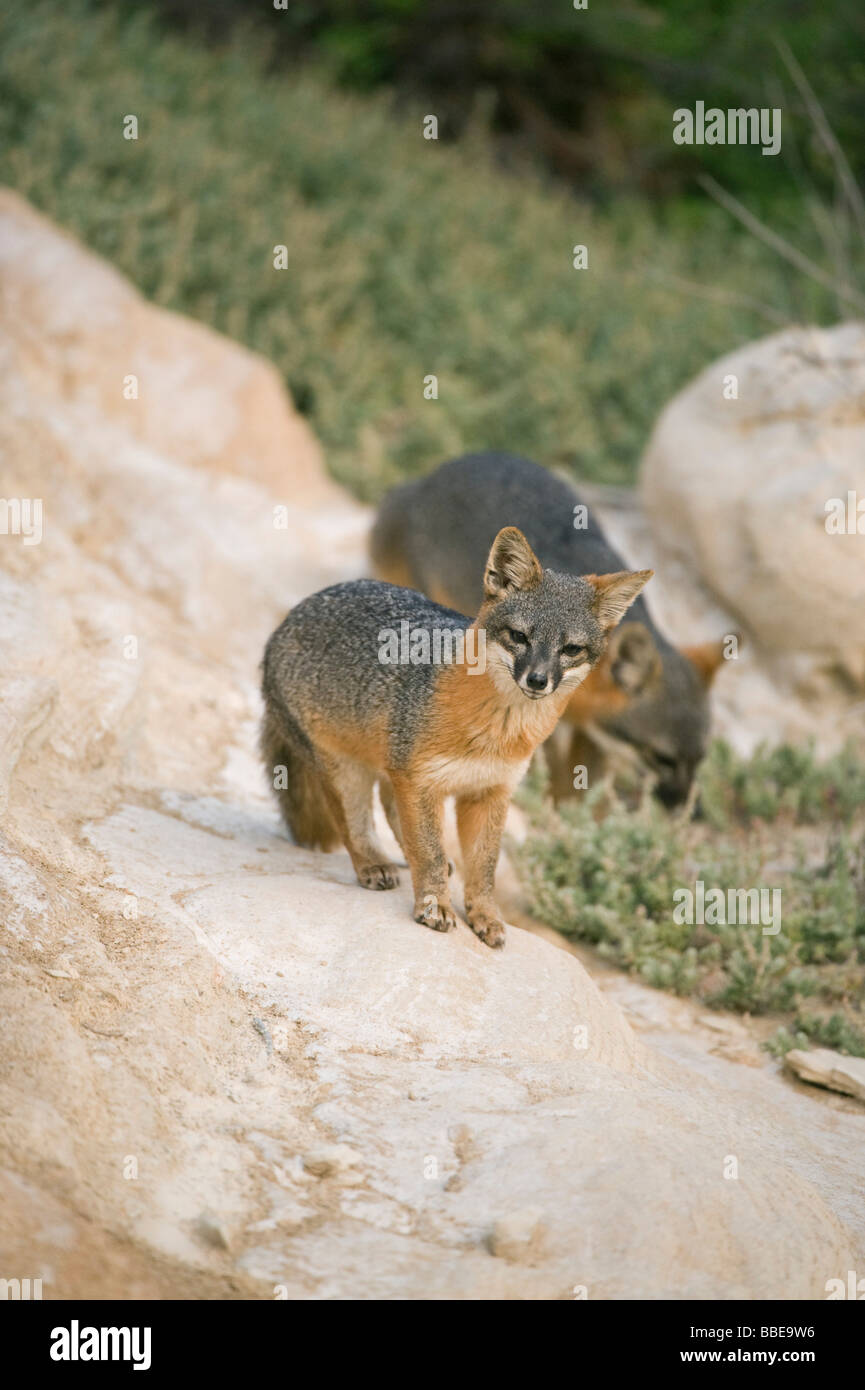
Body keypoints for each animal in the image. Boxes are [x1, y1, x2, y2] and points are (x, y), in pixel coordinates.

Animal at [260, 526, 651, 947]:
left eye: (571, 649)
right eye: (519, 637)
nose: (537, 680)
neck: (496, 732)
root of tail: (290, 616)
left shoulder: (489, 792)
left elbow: (483, 866)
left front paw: (484, 915)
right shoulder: (420, 780)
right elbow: (429, 851)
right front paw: (434, 907)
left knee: (391, 806)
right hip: (347, 771)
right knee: (357, 823)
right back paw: (373, 864)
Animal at [370, 451, 728, 808]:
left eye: (699, 759)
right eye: (662, 758)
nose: (690, 811)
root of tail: (435, 474)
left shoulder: (588, 731)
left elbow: (583, 776)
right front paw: (556, 807)